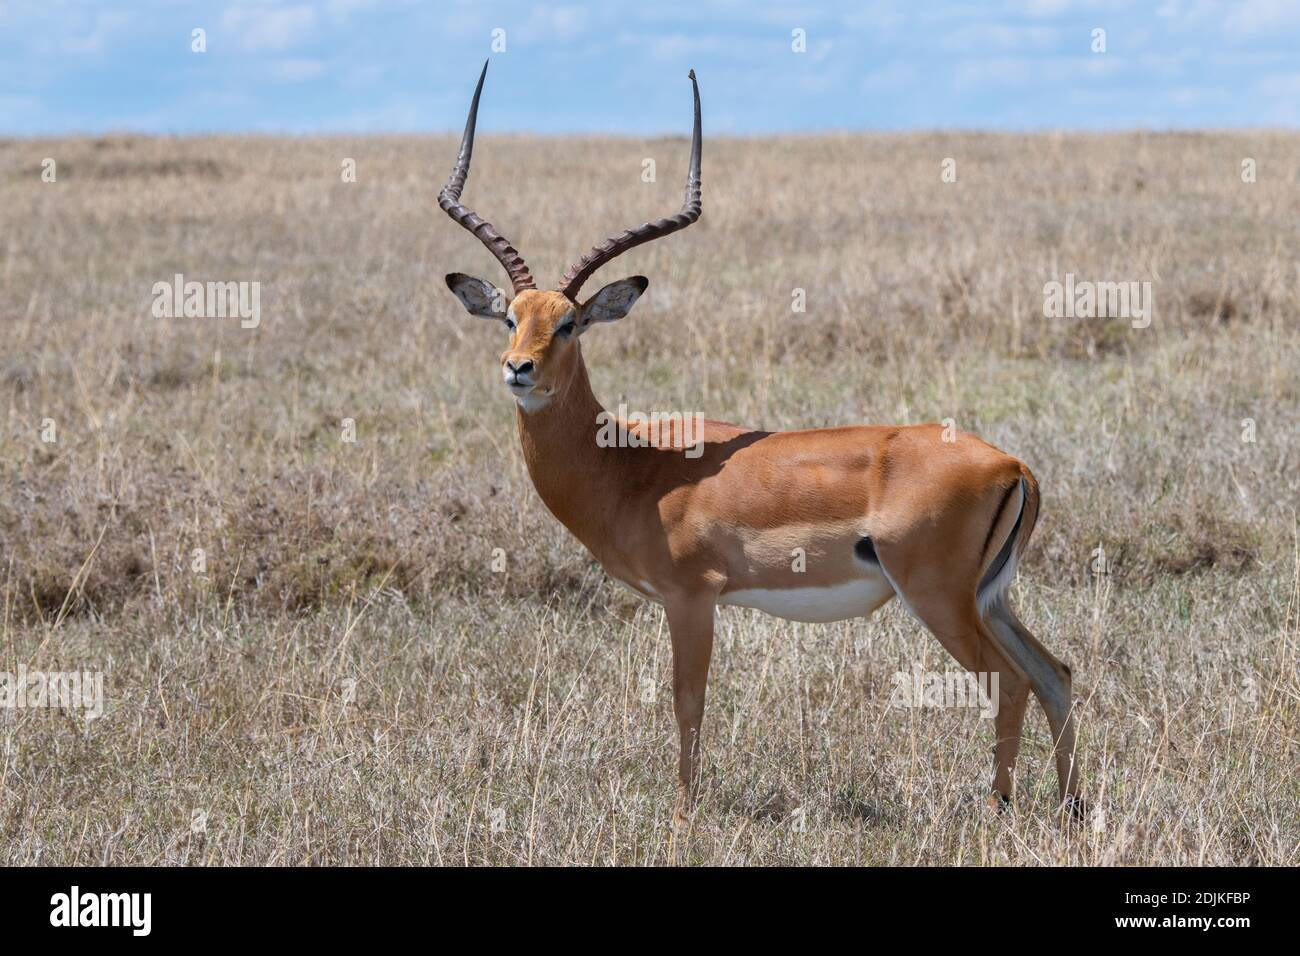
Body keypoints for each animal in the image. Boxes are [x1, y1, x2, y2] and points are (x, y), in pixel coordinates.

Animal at [439, 62, 1083, 825]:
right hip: (988, 598)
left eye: (570, 324)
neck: (632, 468)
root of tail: (1013, 466)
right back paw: (1072, 807)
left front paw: (683, 815)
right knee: (1055, 672)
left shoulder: (692, 597)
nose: (519, 369)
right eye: (511, 316)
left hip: (940, 599)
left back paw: (998, 808)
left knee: (1010, 683)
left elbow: (688, 703)